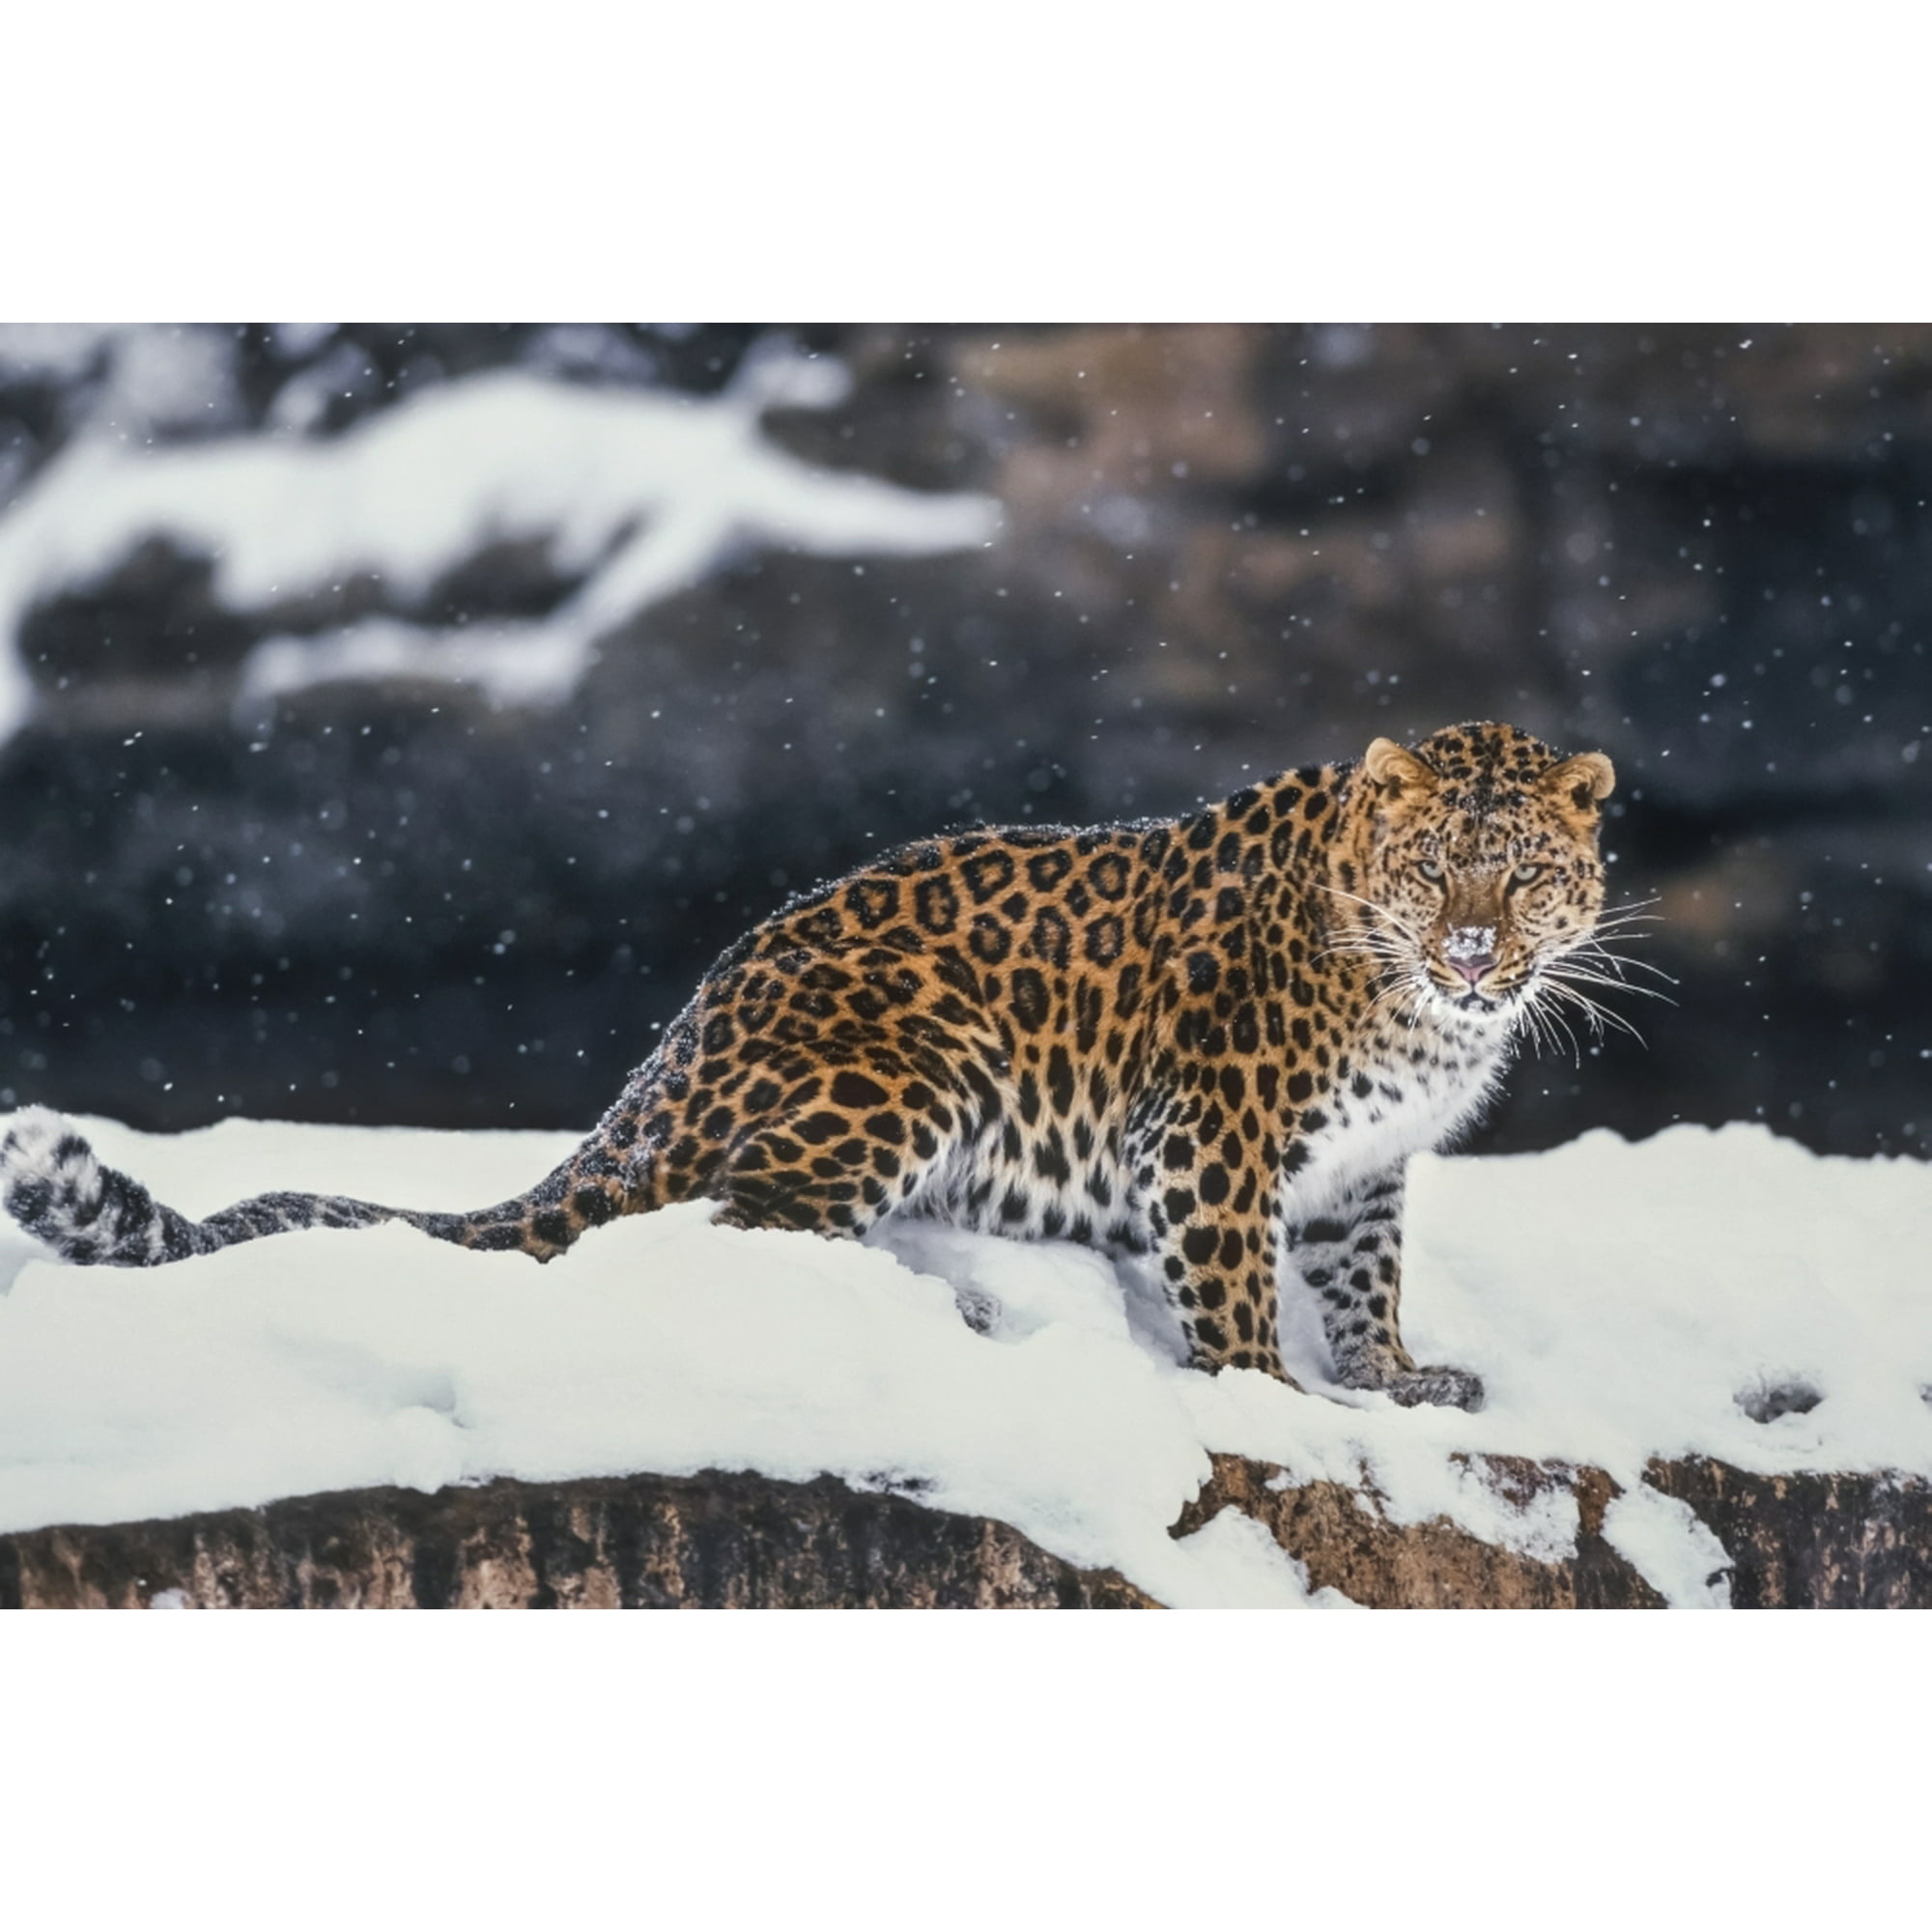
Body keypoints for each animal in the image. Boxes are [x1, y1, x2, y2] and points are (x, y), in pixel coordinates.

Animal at [1, 720, 1619, 1411]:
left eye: (1528, 877)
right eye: (1436, 873)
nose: (1478, 953)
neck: (1425, 1013)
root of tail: (671, 1048)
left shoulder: (1362, 1169)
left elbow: (1363, 1280)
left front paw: (1393, 1381)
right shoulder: (1213, 1132)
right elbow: (1229, 1289)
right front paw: (1269, 1400)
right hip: (907, 1066)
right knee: (737, 1218)